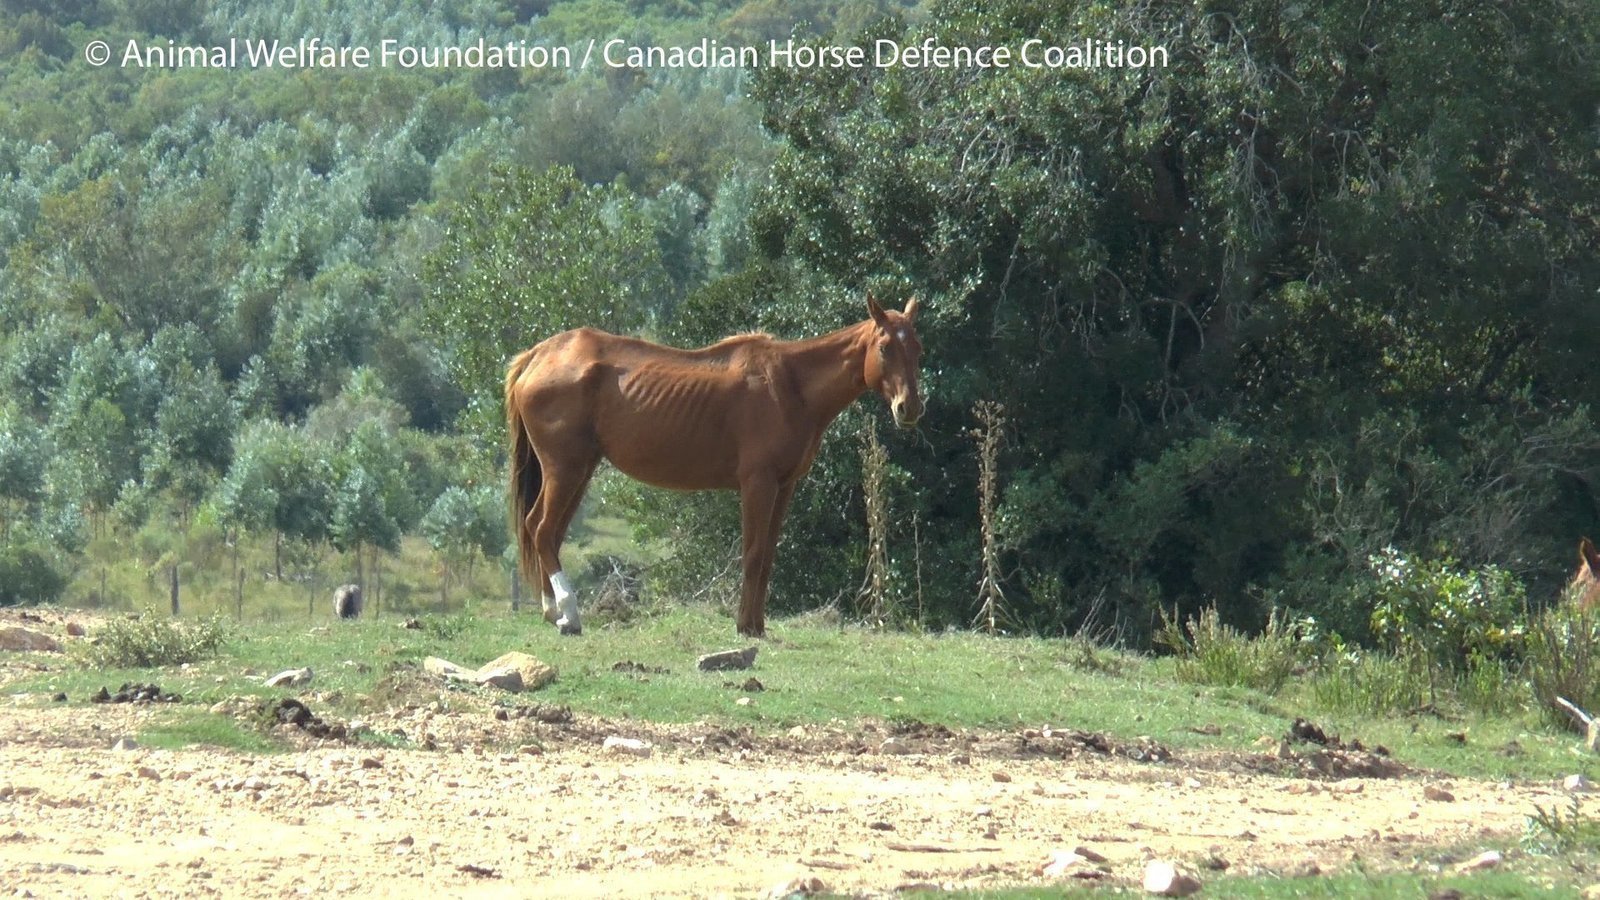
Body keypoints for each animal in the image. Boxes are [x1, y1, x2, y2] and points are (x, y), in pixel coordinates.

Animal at [505, 294, 924, 637]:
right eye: (885, 347)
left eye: (918, 347)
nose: (909, 408)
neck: (790, 385)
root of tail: (538, 356)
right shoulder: (758, 484)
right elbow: (753, 554)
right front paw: (745, 626)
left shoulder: (784, 486)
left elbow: (767, 556)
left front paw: (757, 624)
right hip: (566, 469)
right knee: (543, 530)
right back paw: (570, 615)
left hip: (578, 471)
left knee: (544, 531)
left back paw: (553, 611)